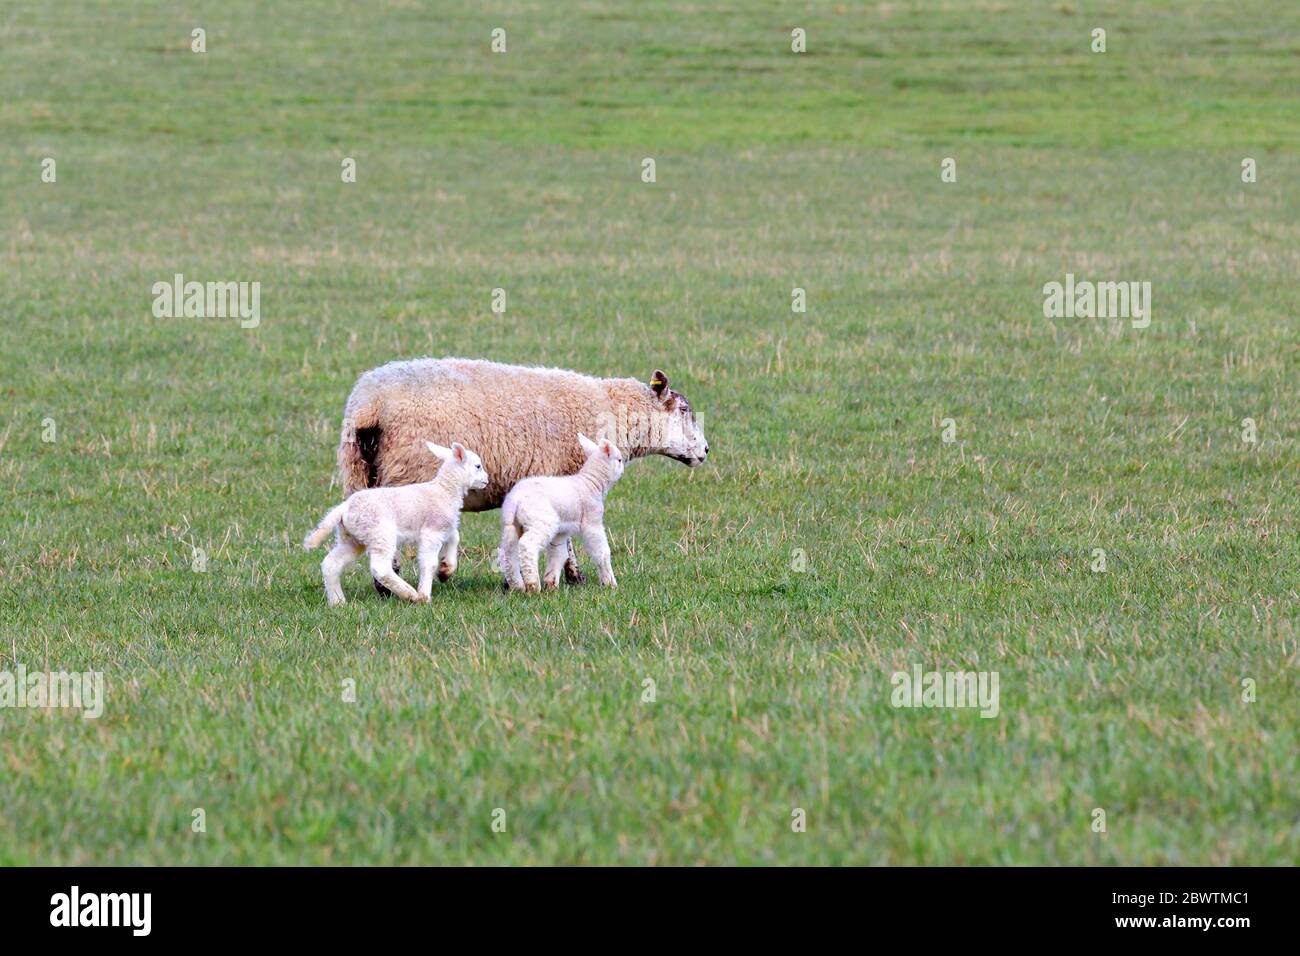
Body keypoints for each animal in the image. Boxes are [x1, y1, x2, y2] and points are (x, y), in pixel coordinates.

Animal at [304, 441, 489, 605]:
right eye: (478, 466)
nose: (487, 479)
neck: (445, 490)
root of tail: (344, 508)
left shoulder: (444, 525)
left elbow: (455, 537)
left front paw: (446, 569)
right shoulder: (432, 530)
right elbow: (428, 563)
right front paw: (425, 595)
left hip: (352, 538)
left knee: (331, 564)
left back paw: (338, 602)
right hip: (380, 532)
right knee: (380, 568)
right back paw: (410, 595)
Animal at [500, 434, 625, 592]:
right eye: (619, 460)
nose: (623, 469)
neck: (591, 483)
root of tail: (515, 499)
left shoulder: (562, 530)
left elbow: (557, 554)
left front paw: (551, 584)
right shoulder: (592, 521)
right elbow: (601, 551)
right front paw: (610, 583)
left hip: (512, 524)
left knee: (509, 550)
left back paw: (517, 586)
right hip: (542, 519)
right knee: (527, 545)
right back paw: (533, 586)